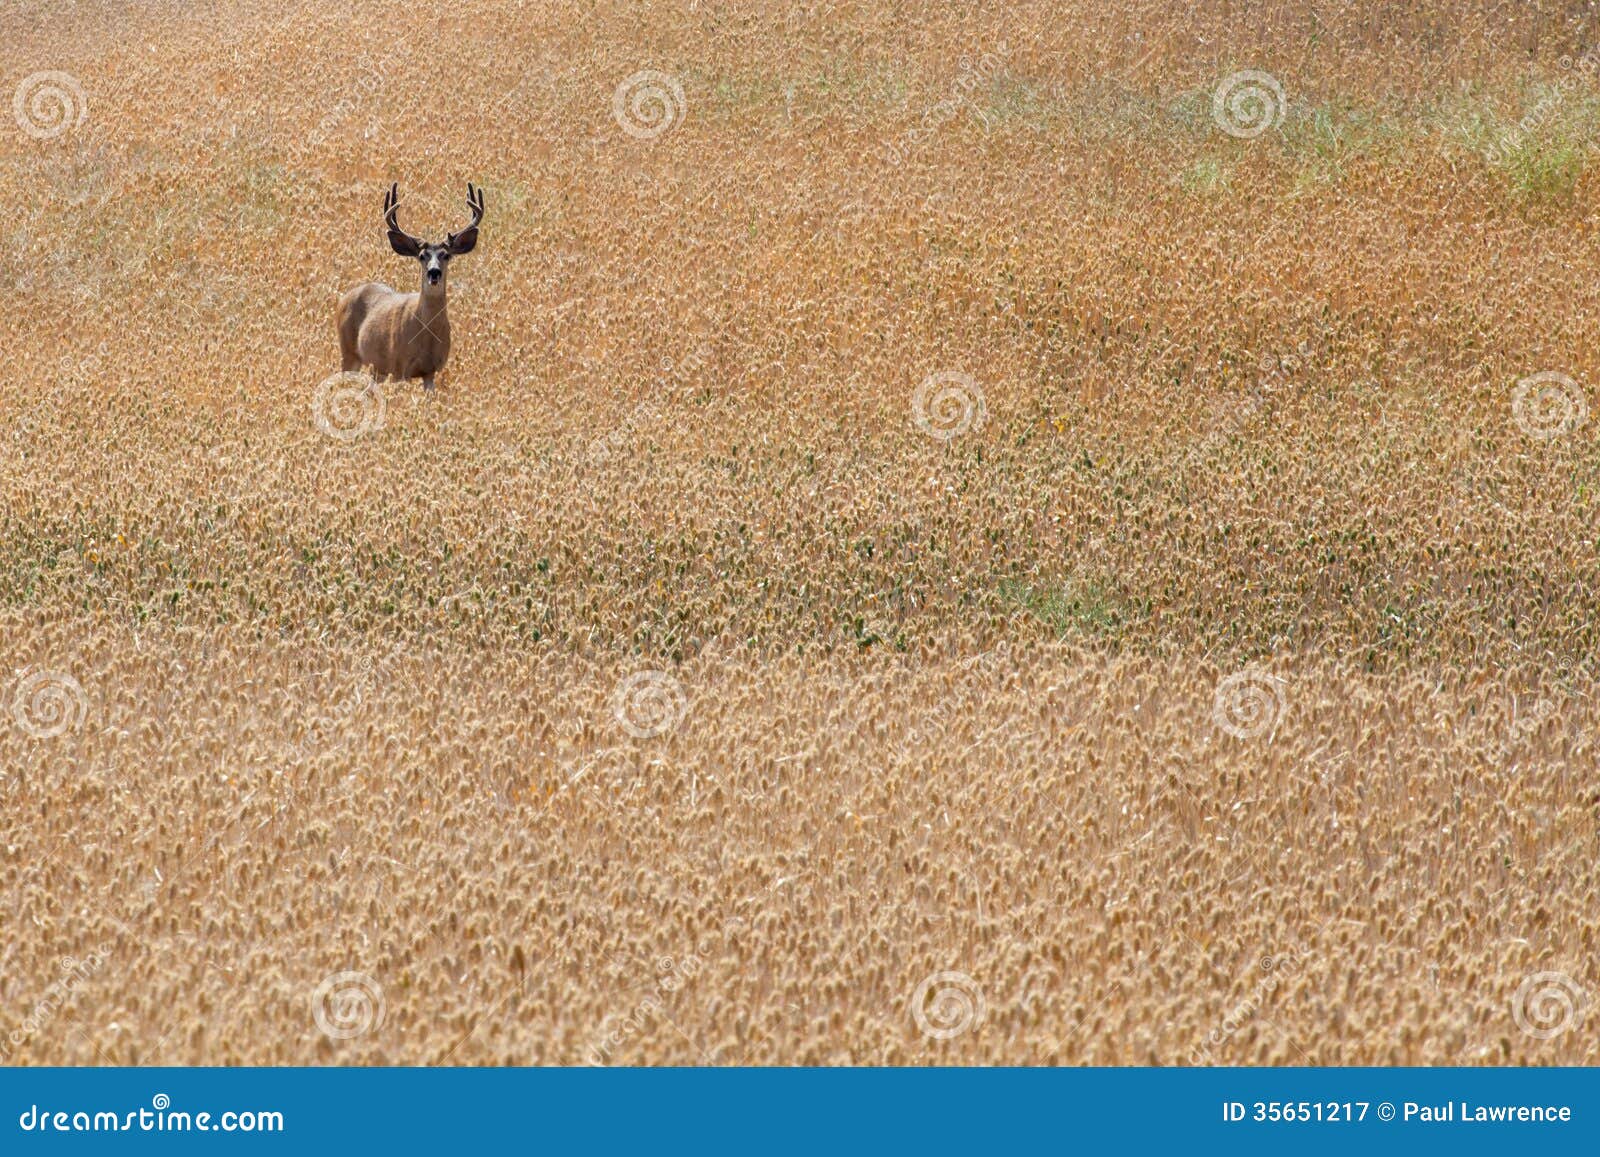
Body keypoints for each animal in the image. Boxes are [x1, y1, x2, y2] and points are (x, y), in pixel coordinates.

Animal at [337, 183, 484, 390]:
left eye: (446, 255)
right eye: (422, 256)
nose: (434, 272)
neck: (426, 332)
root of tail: (345, 297)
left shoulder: (430, 371)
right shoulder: (400, 366)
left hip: (377, 368)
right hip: (349, 352)